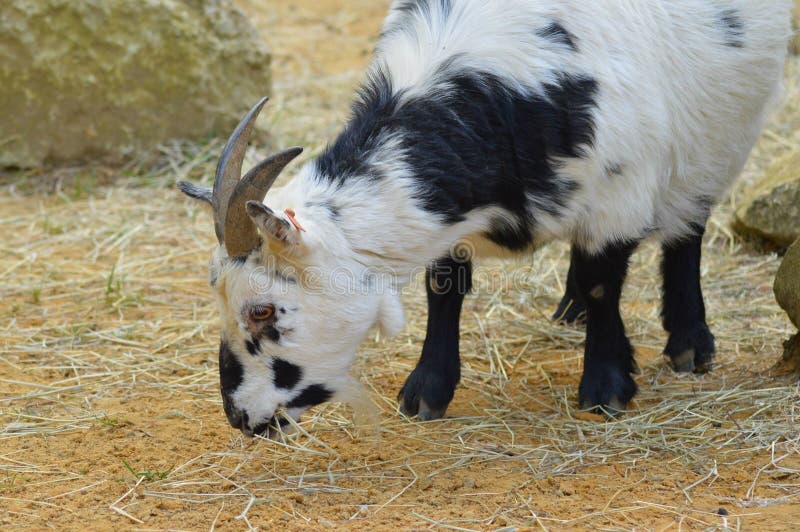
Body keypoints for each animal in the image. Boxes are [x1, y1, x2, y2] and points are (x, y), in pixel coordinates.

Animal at [179, 0, 791, 436]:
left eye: (262, 311)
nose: (240, 418)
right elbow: (444, 288)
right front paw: (427, 390)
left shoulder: (619, 194)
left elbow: (605, 283)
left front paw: (606, 387)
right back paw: (569, 308)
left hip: (722, 135)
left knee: (689, 227)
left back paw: (689, 342)